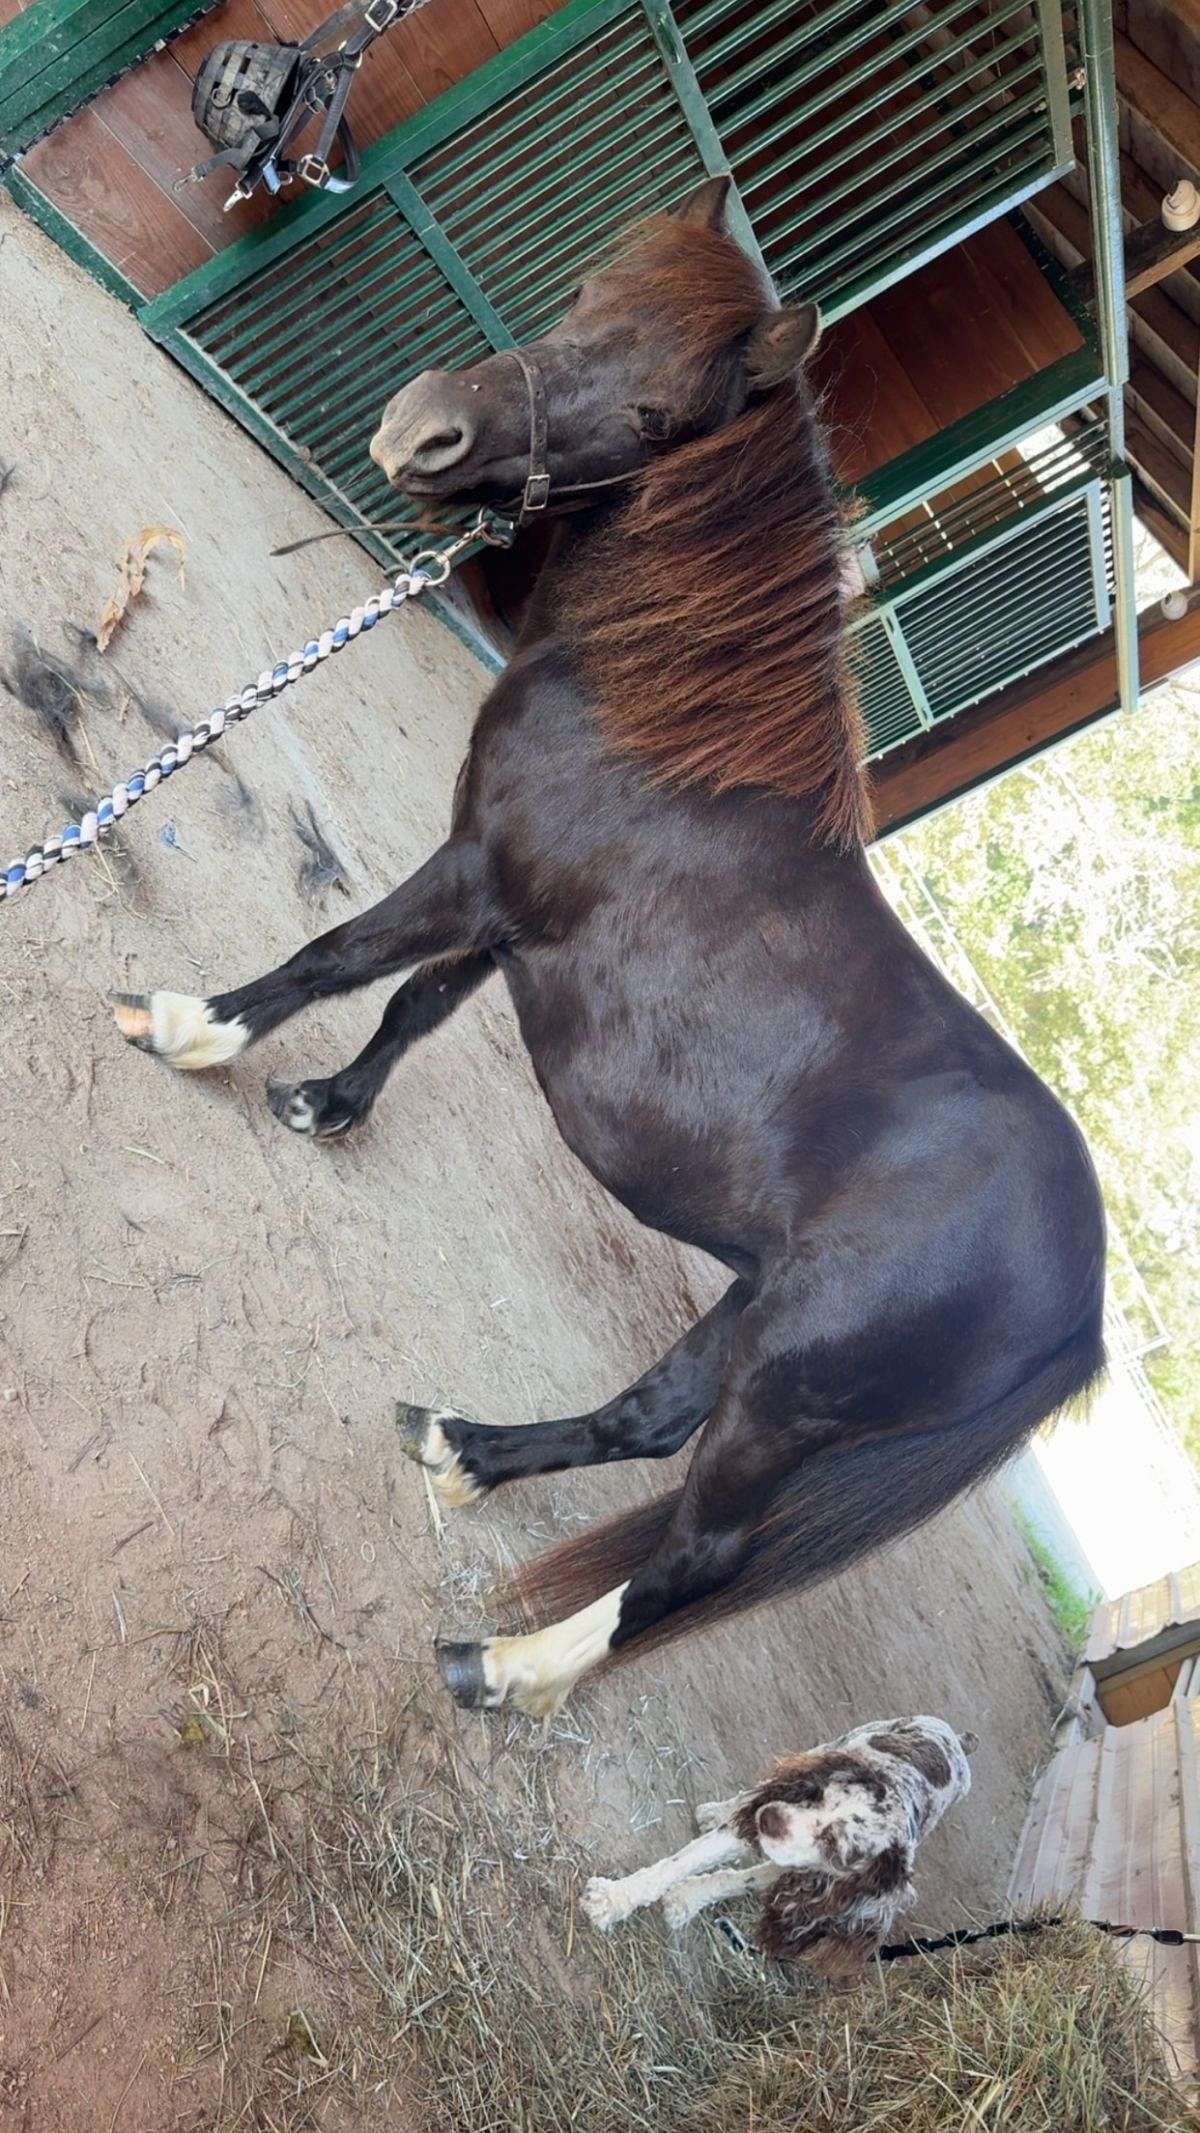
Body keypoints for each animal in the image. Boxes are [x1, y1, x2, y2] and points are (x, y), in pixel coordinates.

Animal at [113, 176, 1106, 1720]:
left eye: (658, 414)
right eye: (583, 302)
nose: (419, 431)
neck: (658, 735)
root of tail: (1092, 1301)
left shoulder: (474, 877)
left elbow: (338, 957)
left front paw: (193, 1030)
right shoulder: (507, 917)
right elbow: (411, 1008)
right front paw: (324, 1105)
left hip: (786, 1385)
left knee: (695, 1556)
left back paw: (507, 1666)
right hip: (752, 1313)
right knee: (645, 1423)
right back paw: (464, 1449)